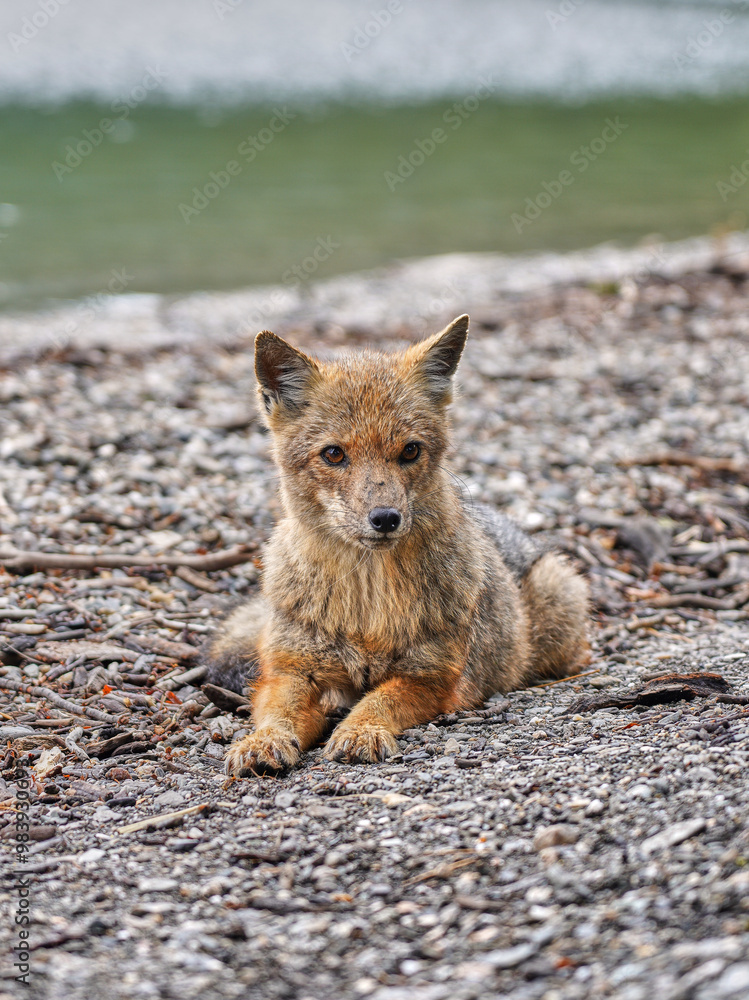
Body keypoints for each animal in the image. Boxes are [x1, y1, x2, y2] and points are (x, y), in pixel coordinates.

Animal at [207, 314, 590, 776]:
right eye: (334, 455)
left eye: (409, 451)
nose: (386, 518)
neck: (367, 605)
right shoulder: (290, 671)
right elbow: (279, 710)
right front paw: (263, 740)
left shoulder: (433, 677)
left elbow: (378, 702)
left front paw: (360, 731)